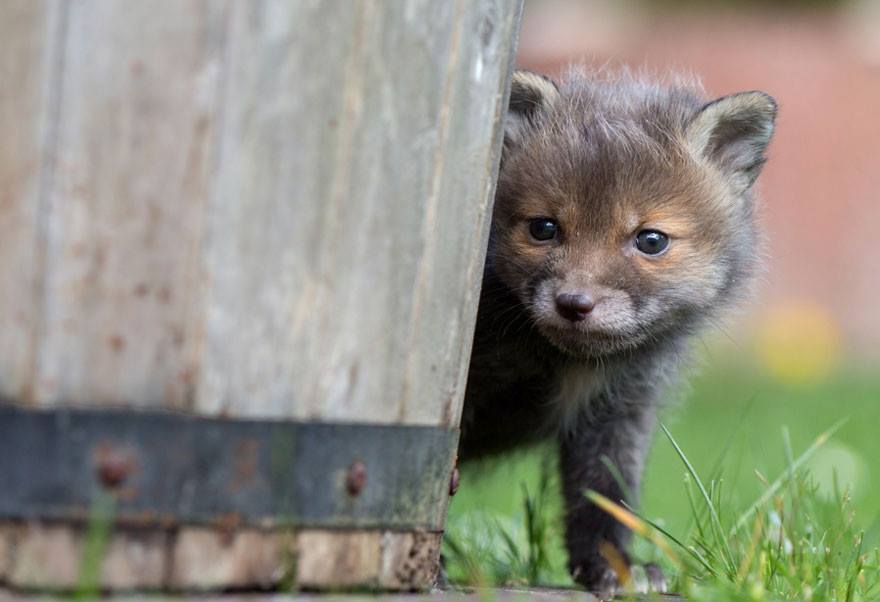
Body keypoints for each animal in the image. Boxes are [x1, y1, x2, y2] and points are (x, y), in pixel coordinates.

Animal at [458, 69, 777, 597]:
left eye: (650, 240)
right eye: (544, 228)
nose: (574, 303)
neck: (568, 365)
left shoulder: (618, 410)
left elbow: (605, 496)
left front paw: (615, 568)